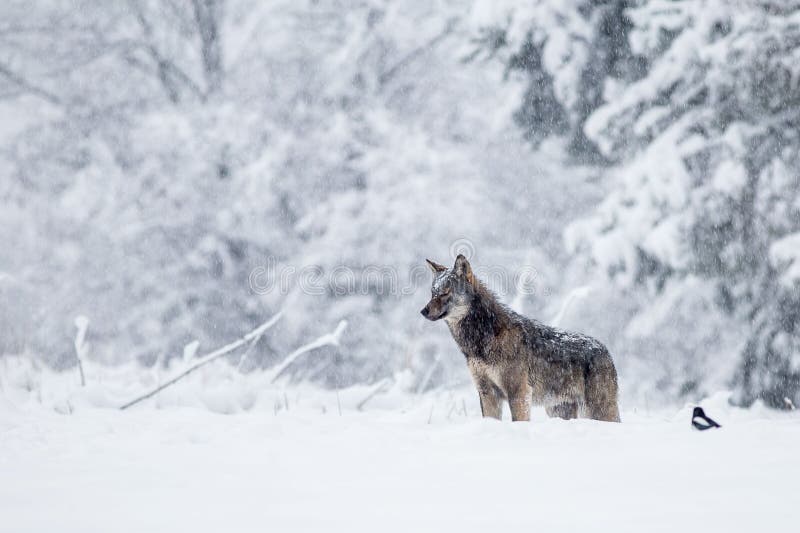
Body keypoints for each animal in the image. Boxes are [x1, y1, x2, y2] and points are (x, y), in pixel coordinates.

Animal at [420, 254, 620, 422]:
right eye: (432, 293)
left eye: (445, 292)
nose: (423, 311)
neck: (482, 338)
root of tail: (606, 350)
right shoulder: (487, 392)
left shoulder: (518, 392)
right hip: (558, 411)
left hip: (597, 410)